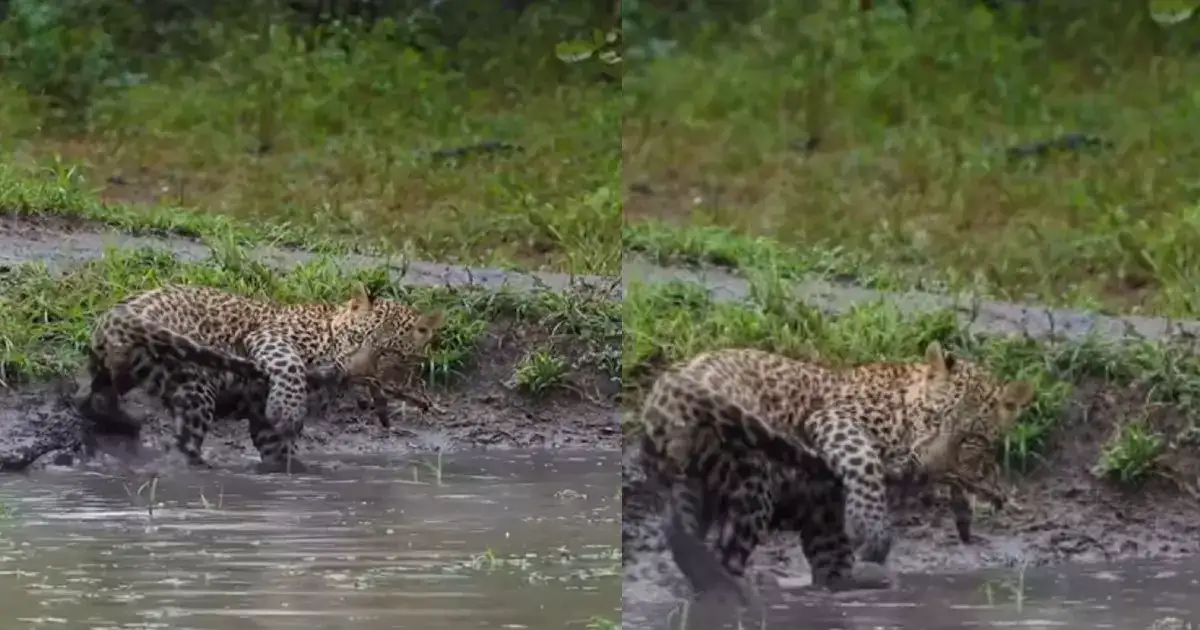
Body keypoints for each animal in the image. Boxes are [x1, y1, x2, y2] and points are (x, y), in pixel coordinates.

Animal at [76, 283, 446, 473]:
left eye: (389, 354)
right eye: (356, 339)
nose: (352, 371)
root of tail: (124, 312)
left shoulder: (263, 421)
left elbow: (278, 450)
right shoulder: (270, 336)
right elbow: (290, 366)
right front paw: (288, 409)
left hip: (113, 368)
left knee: (93, 397)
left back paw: (118, 422)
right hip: (195, 382)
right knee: (184, 447)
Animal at [640, 340, 1037, 571]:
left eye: (971, 438)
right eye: (933, 418)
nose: (925, 469)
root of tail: (674, 382)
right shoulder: (834, 416)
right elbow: (864, 459)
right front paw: (870, 527)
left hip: (691, 480)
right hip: (750, 475)